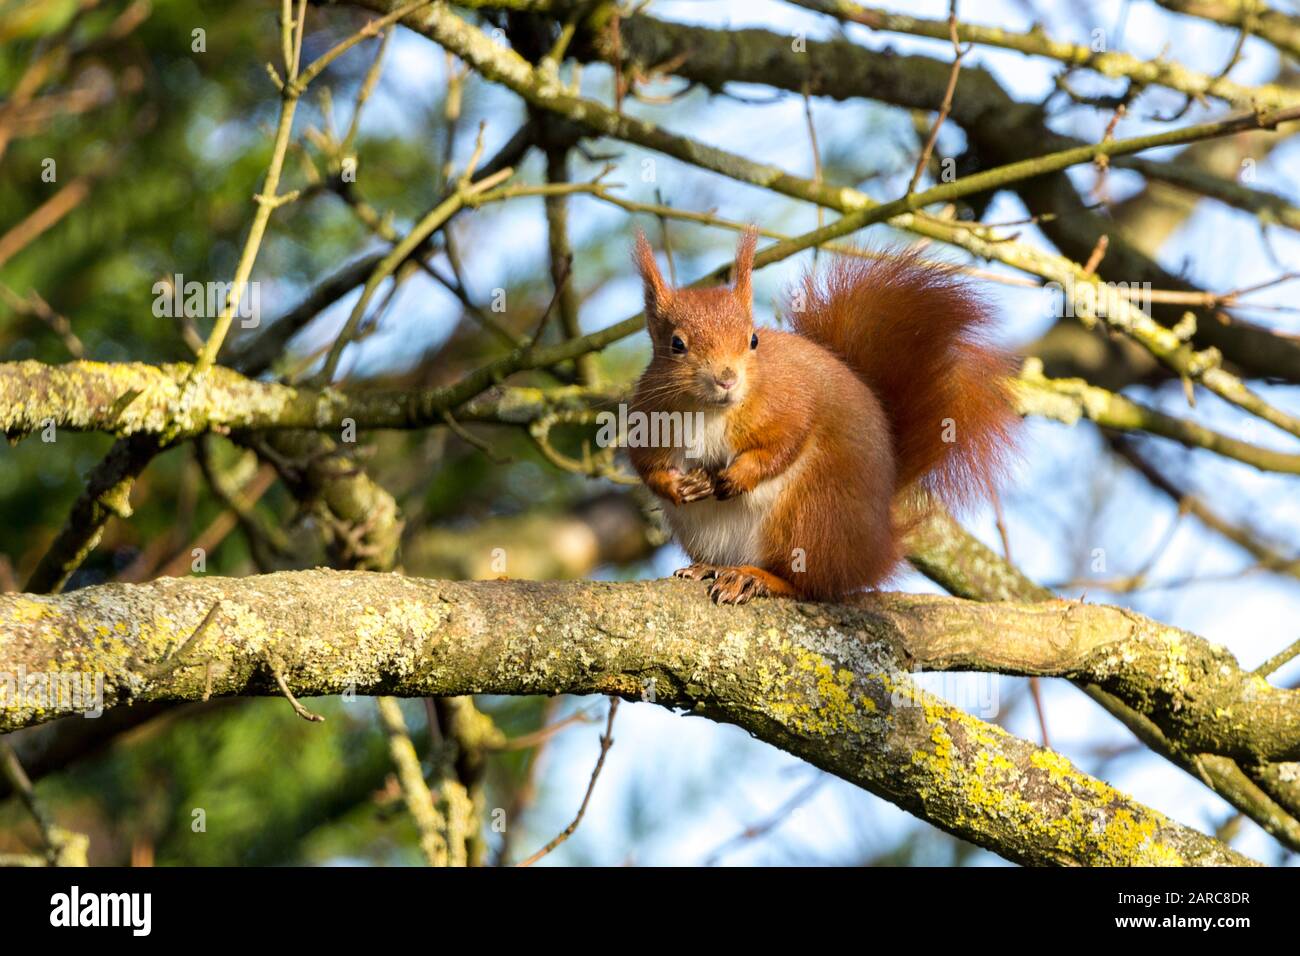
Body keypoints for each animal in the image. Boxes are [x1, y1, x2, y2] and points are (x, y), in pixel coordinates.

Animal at [628, 227, 1019, 605]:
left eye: (753, 340)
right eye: (677, 344)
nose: (726, 378)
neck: (711, 411)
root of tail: (877, 548)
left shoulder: (790, 402)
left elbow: (785, 442)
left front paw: (738, 476)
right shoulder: (647, 418)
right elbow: (647, 464)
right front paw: (676, 486)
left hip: (811, 516)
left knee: (808, 583)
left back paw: (755, 577)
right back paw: (709, 566)